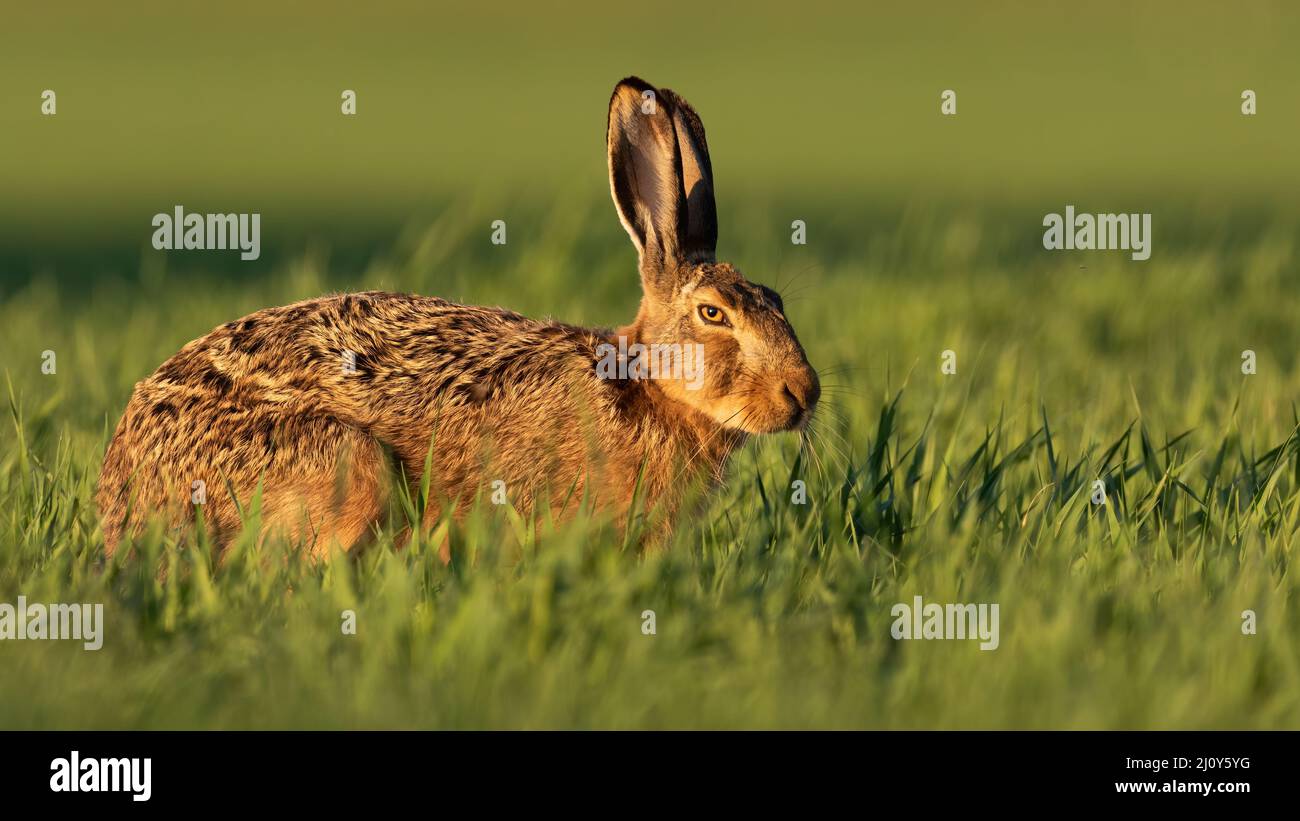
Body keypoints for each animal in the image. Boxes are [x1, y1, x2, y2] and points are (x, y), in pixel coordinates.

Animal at [96, 76, 820, 559]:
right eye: (713, 313)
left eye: (779, 302)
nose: (804, 393)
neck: (646, 386)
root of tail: (122, 496)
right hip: (344, 462)